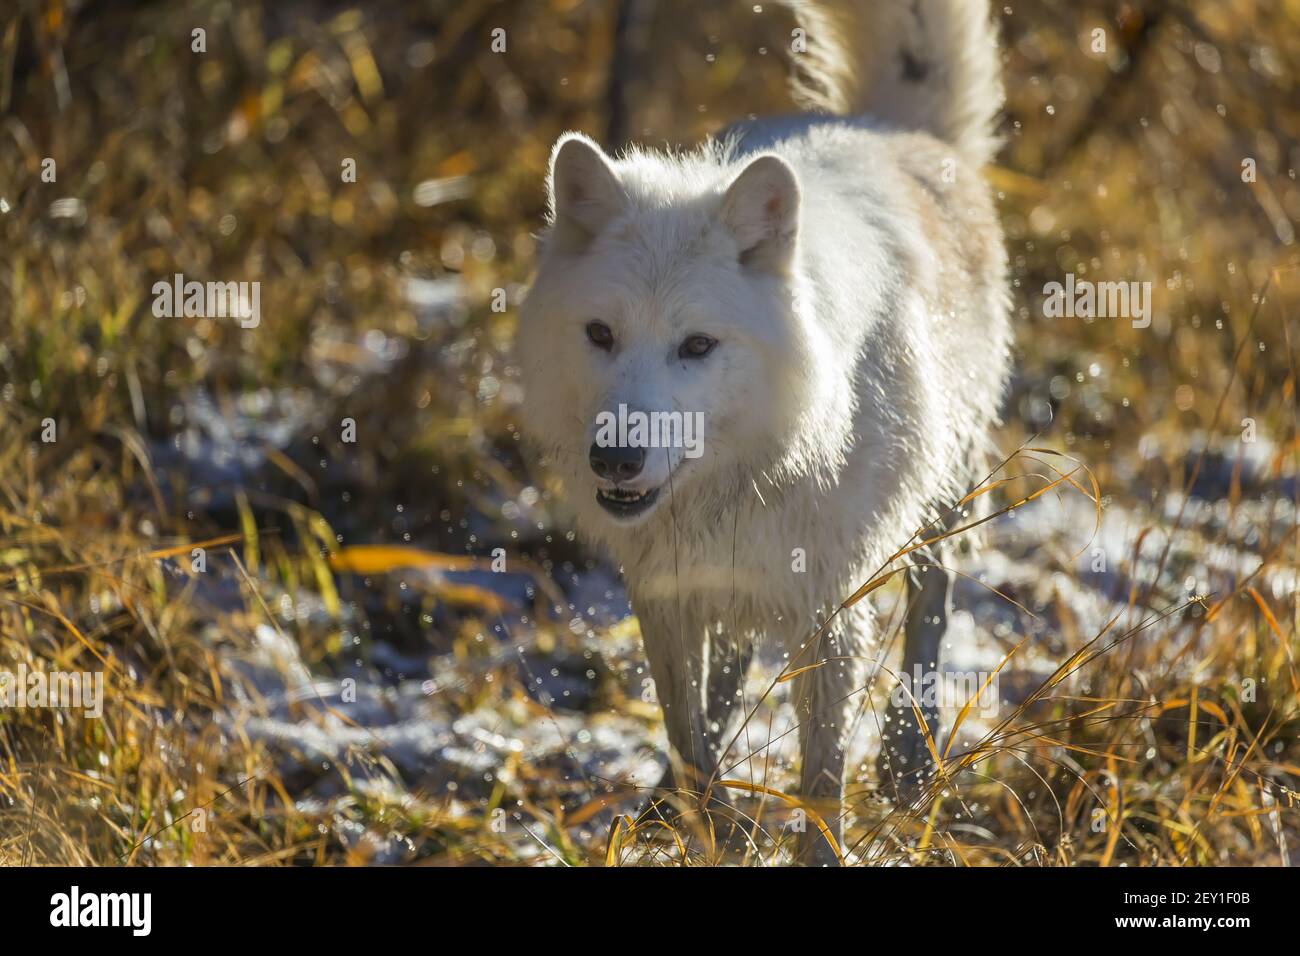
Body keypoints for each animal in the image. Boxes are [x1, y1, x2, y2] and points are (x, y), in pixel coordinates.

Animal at [518, 0, 1010, 865]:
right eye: (601, 335)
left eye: (697, 346)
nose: (615, 457)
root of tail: (892, 125)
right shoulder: (664, 593)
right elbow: (690, 741)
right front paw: (712, 827)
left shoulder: (830, 610)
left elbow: (822, 780)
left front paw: (816, 846)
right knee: (731, 666)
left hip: (938, 495)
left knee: (933, 595)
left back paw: (907, 760)